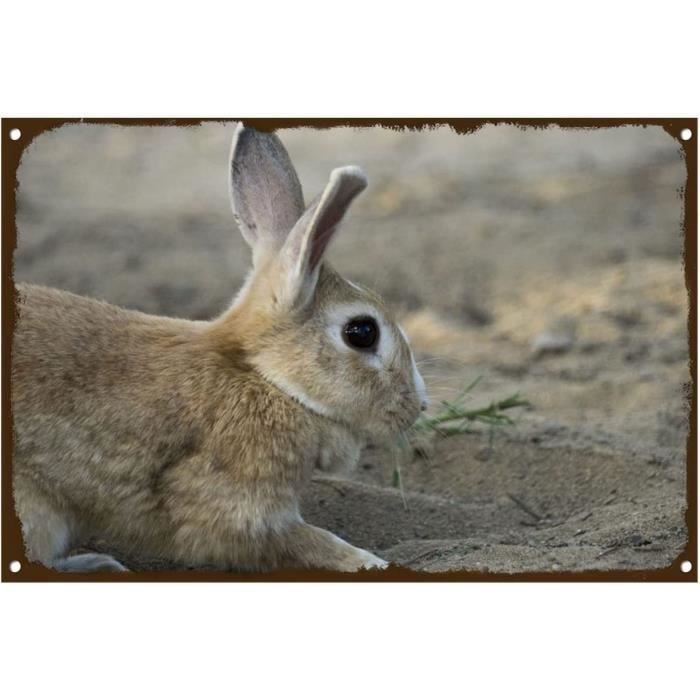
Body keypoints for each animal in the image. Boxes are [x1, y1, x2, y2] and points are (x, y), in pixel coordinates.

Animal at [11, 124, 429, 573]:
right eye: (362, 332)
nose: (418, 406)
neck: (269, 379)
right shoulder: (238, 512)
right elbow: (313, 542)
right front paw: (373, 563)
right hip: (37, 513)